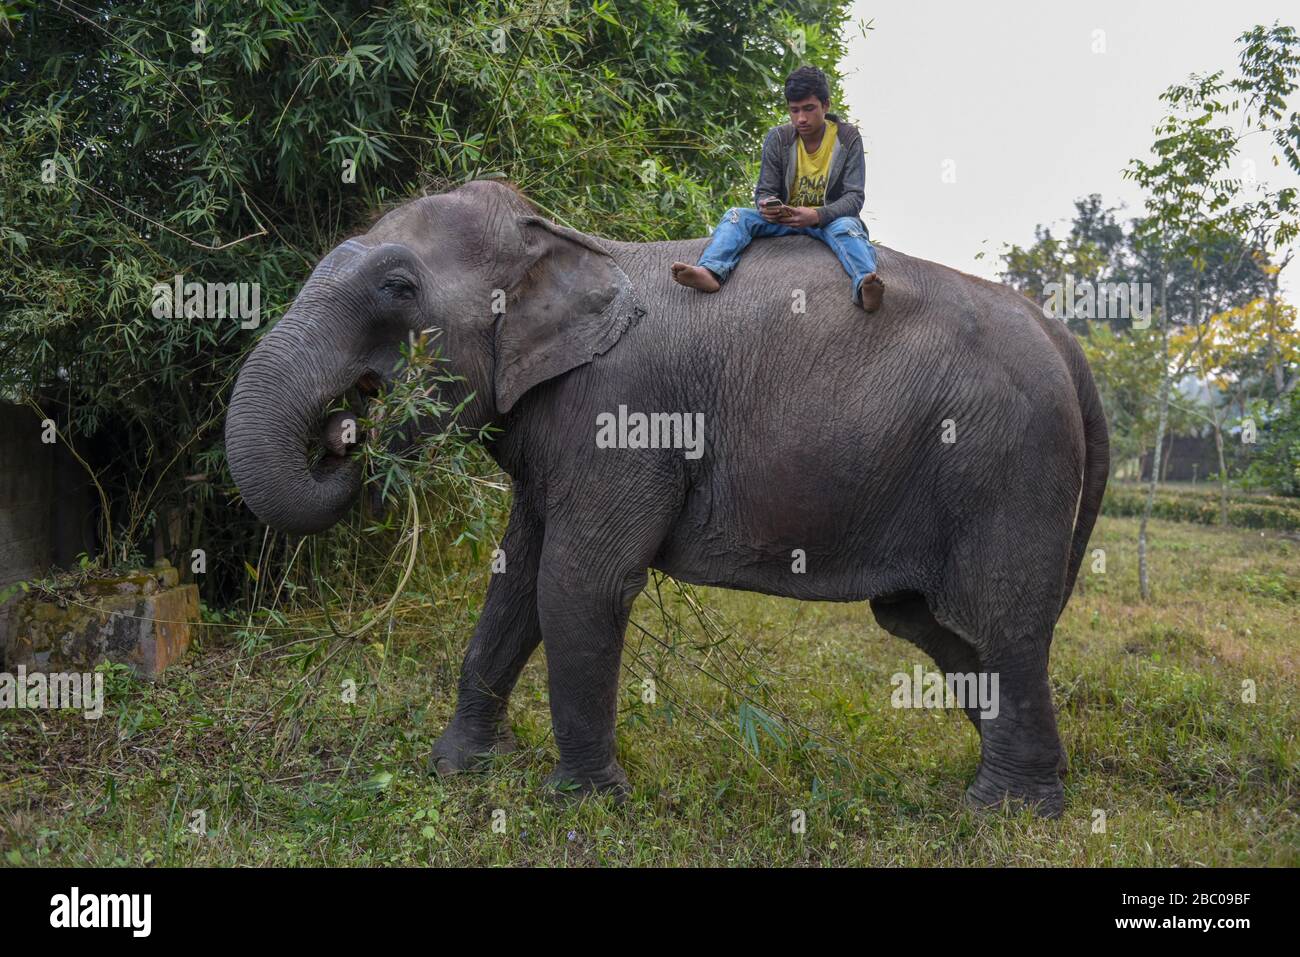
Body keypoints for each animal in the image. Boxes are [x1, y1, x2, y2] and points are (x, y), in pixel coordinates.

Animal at [224, 178, 1109, 818]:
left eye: (398, 287)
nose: (344, 431)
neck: (568, 240)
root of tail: (1065, 339)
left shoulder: (621, 414)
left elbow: (580, 582)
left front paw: (584, 804)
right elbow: (516, 576)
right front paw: (460, 769)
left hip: (1007, 463)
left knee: (999, 617)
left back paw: (1005, 813)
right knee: (937, 625)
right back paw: (1034, 779)